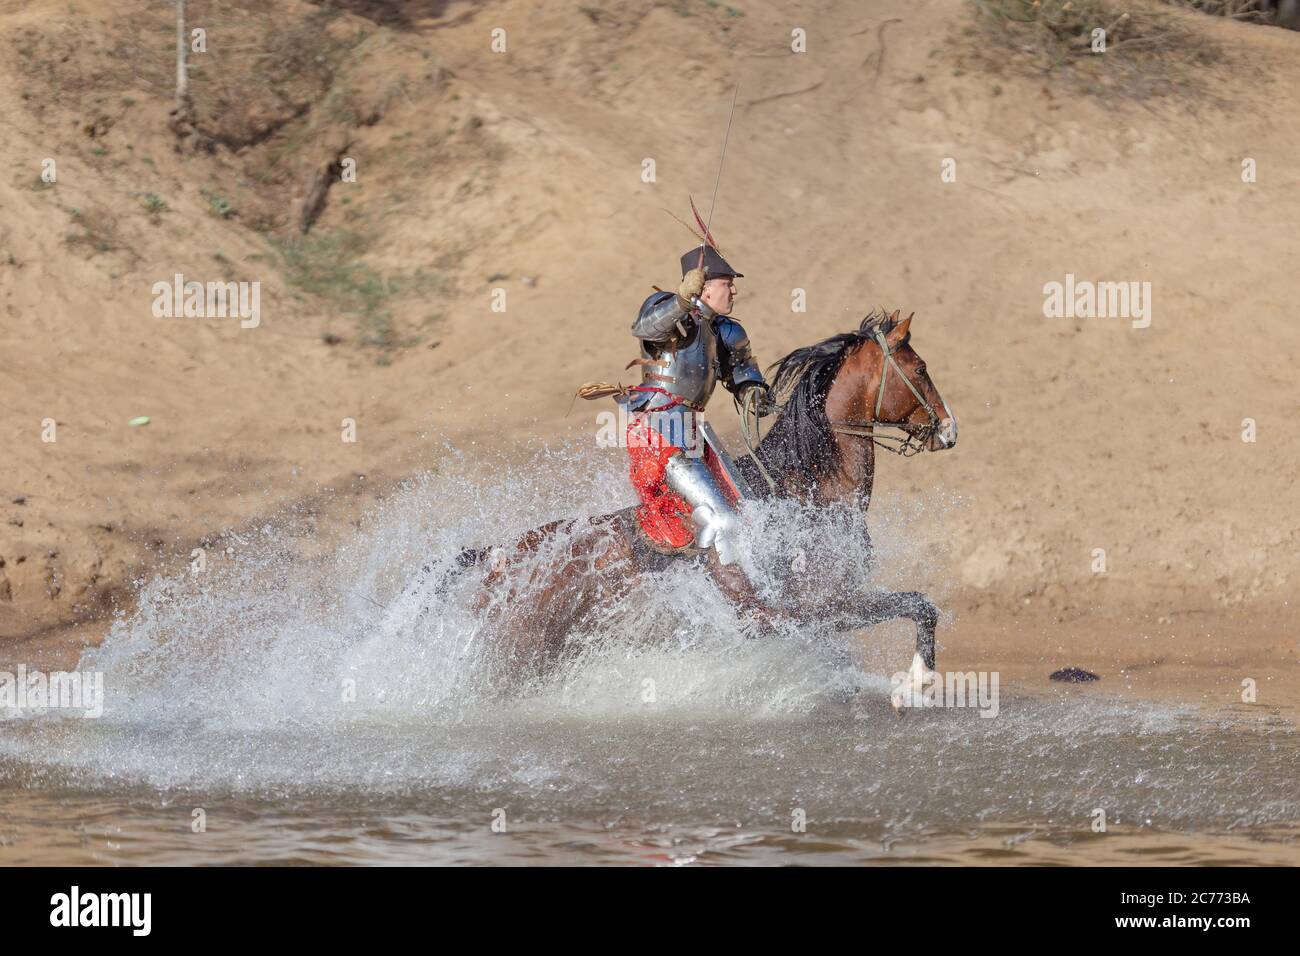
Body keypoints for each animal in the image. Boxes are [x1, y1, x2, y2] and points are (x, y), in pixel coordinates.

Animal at [429, 309, 957, 708]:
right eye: (920, 369)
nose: (949, 430)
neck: (804, 491)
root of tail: (501, 556)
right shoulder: (801, 609)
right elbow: (916, 604)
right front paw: (914, 686)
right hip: (516, 651)